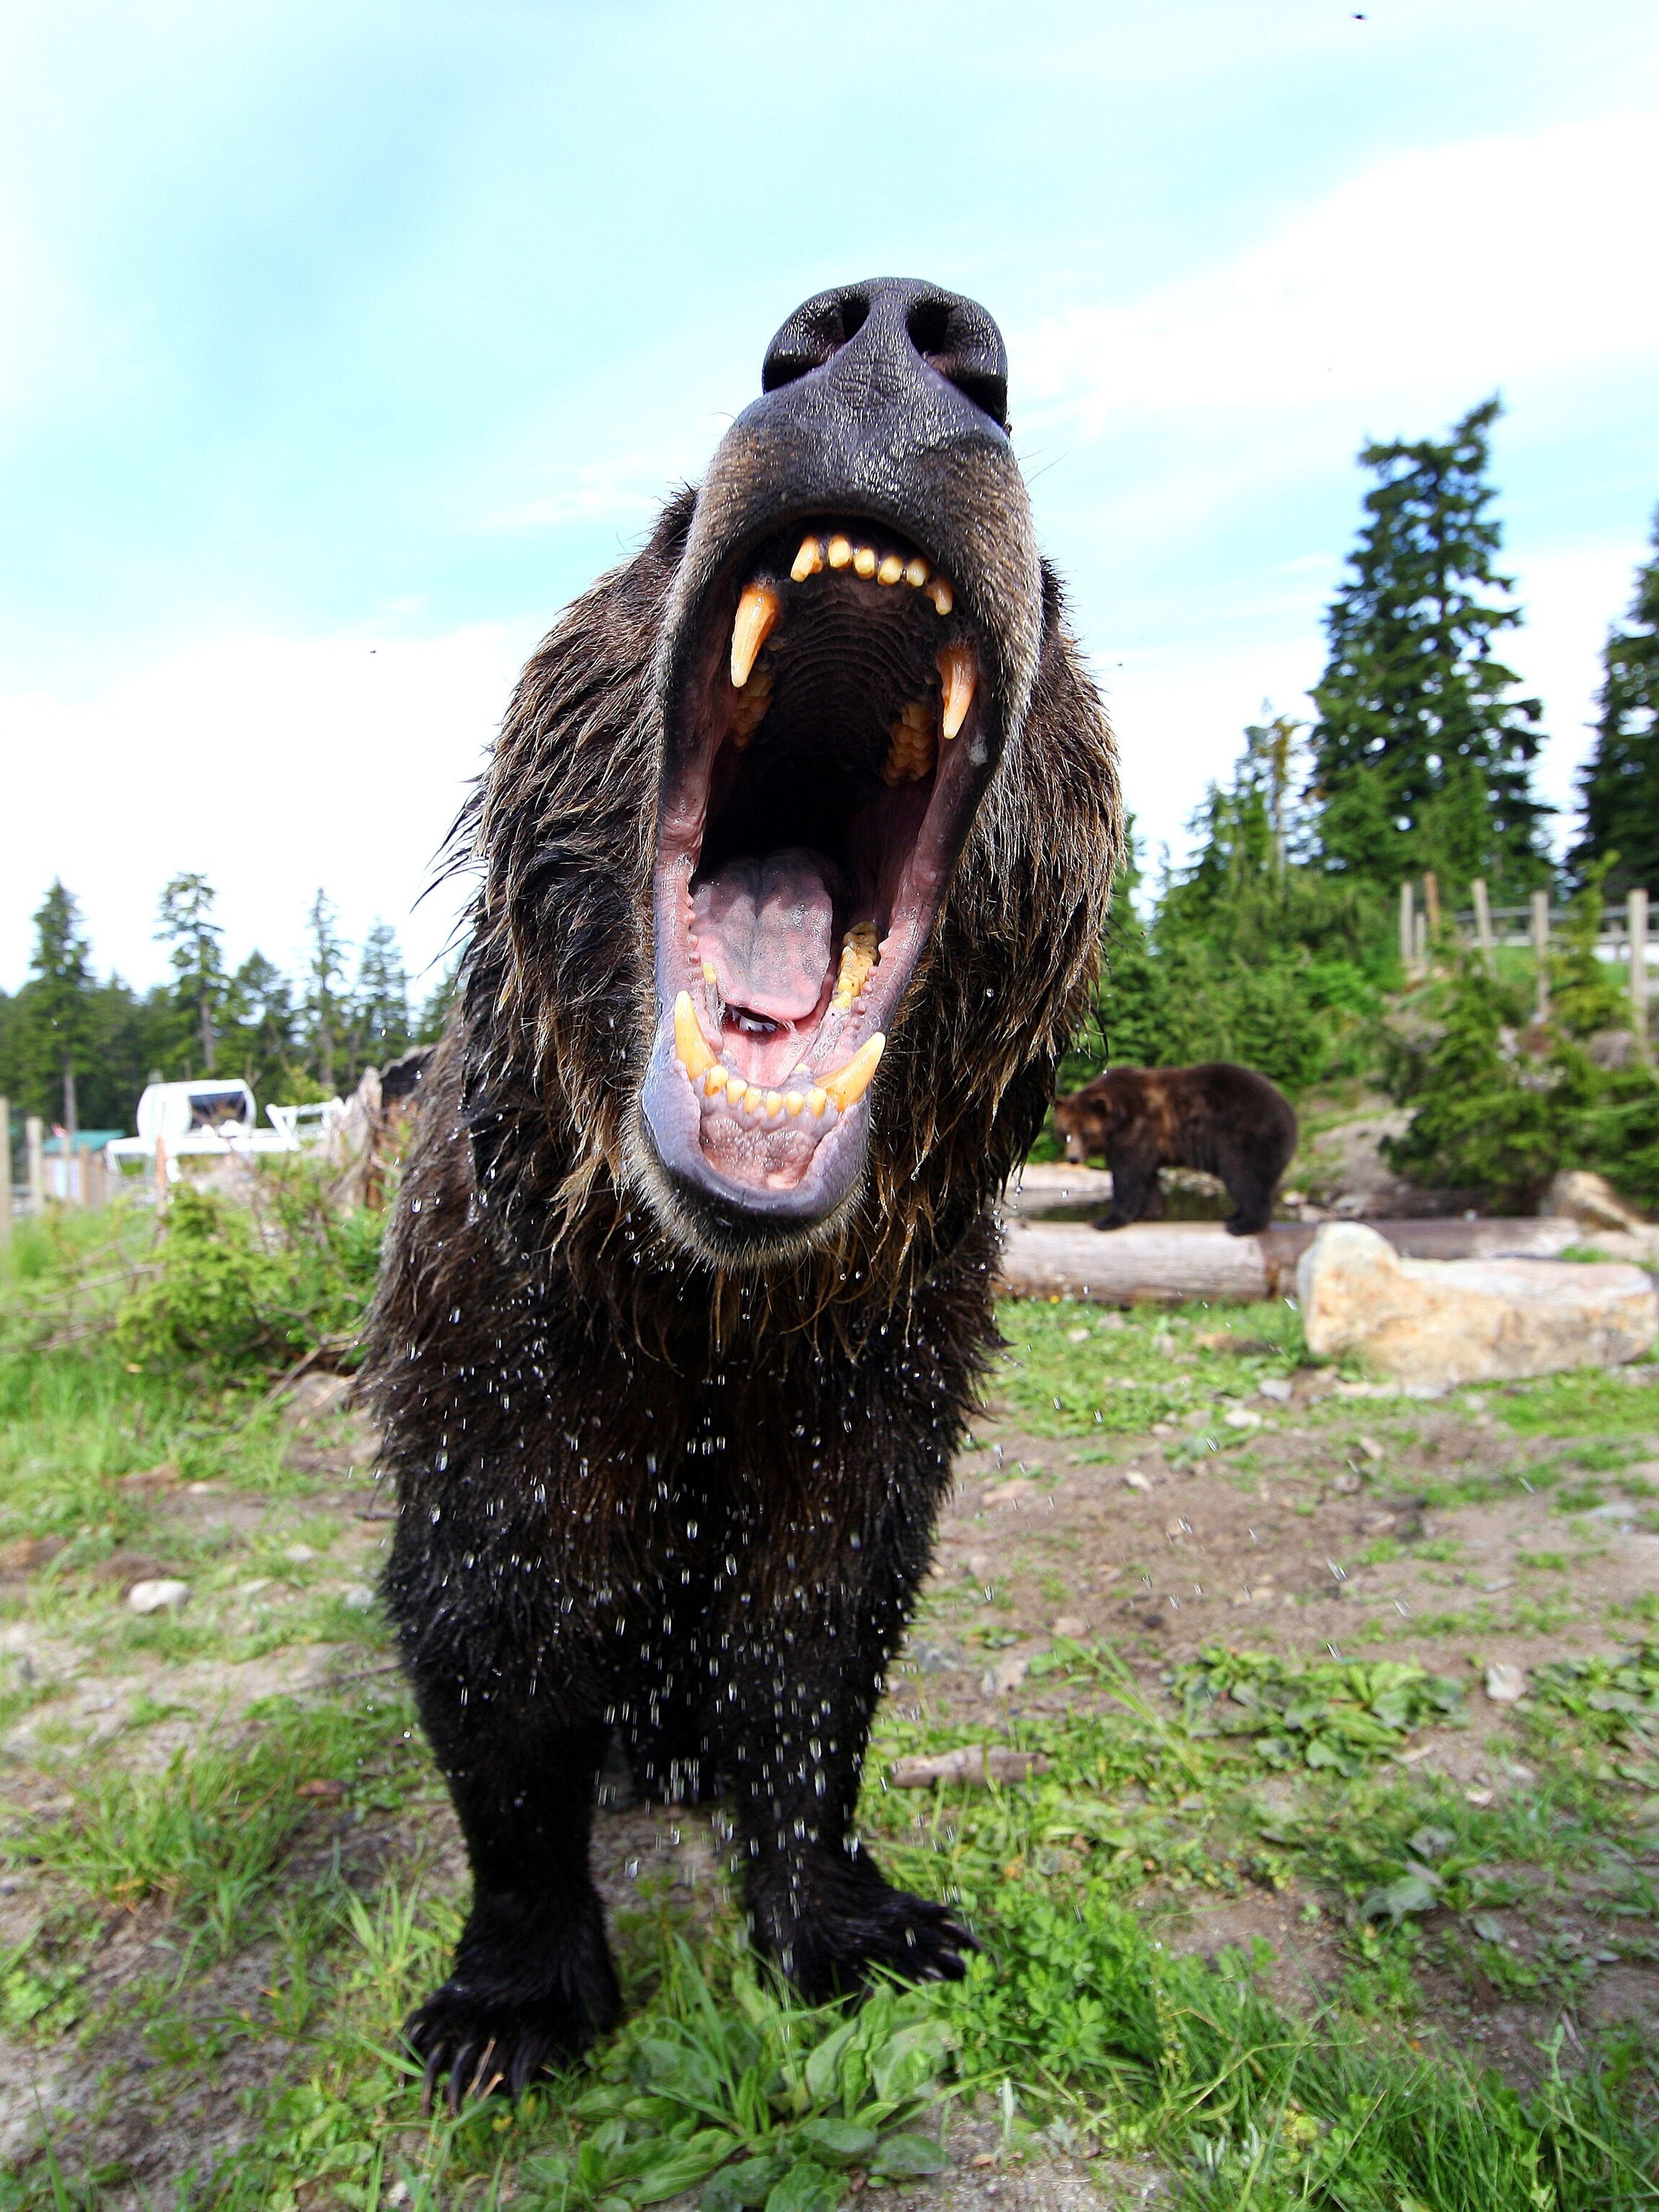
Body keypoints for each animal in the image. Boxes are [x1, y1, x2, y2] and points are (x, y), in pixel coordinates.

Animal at [361, 279, 1120, 2108]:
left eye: (1059, 595)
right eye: (662, 526)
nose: (897, 338)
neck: (705, 1285)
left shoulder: (877, 1353)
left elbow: (825, 1621)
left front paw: (860, 1919)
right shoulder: (508, 1325)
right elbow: (489, 1625)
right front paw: (507, 2001)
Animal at [1053, 1063, 1297, 1237]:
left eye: (1086, 1133)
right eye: (1066, 1133)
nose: (1073, 1158)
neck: (1119, 1118)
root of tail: (1288, 1110)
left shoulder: (1139, 1128)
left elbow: (1128, 1174)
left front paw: (1106, 1220)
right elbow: (1146, 1176)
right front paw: (1149, 1212)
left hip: (1245, 1134)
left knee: (1244, 1175)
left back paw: (1244, 1224)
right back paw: (1234, 1216)